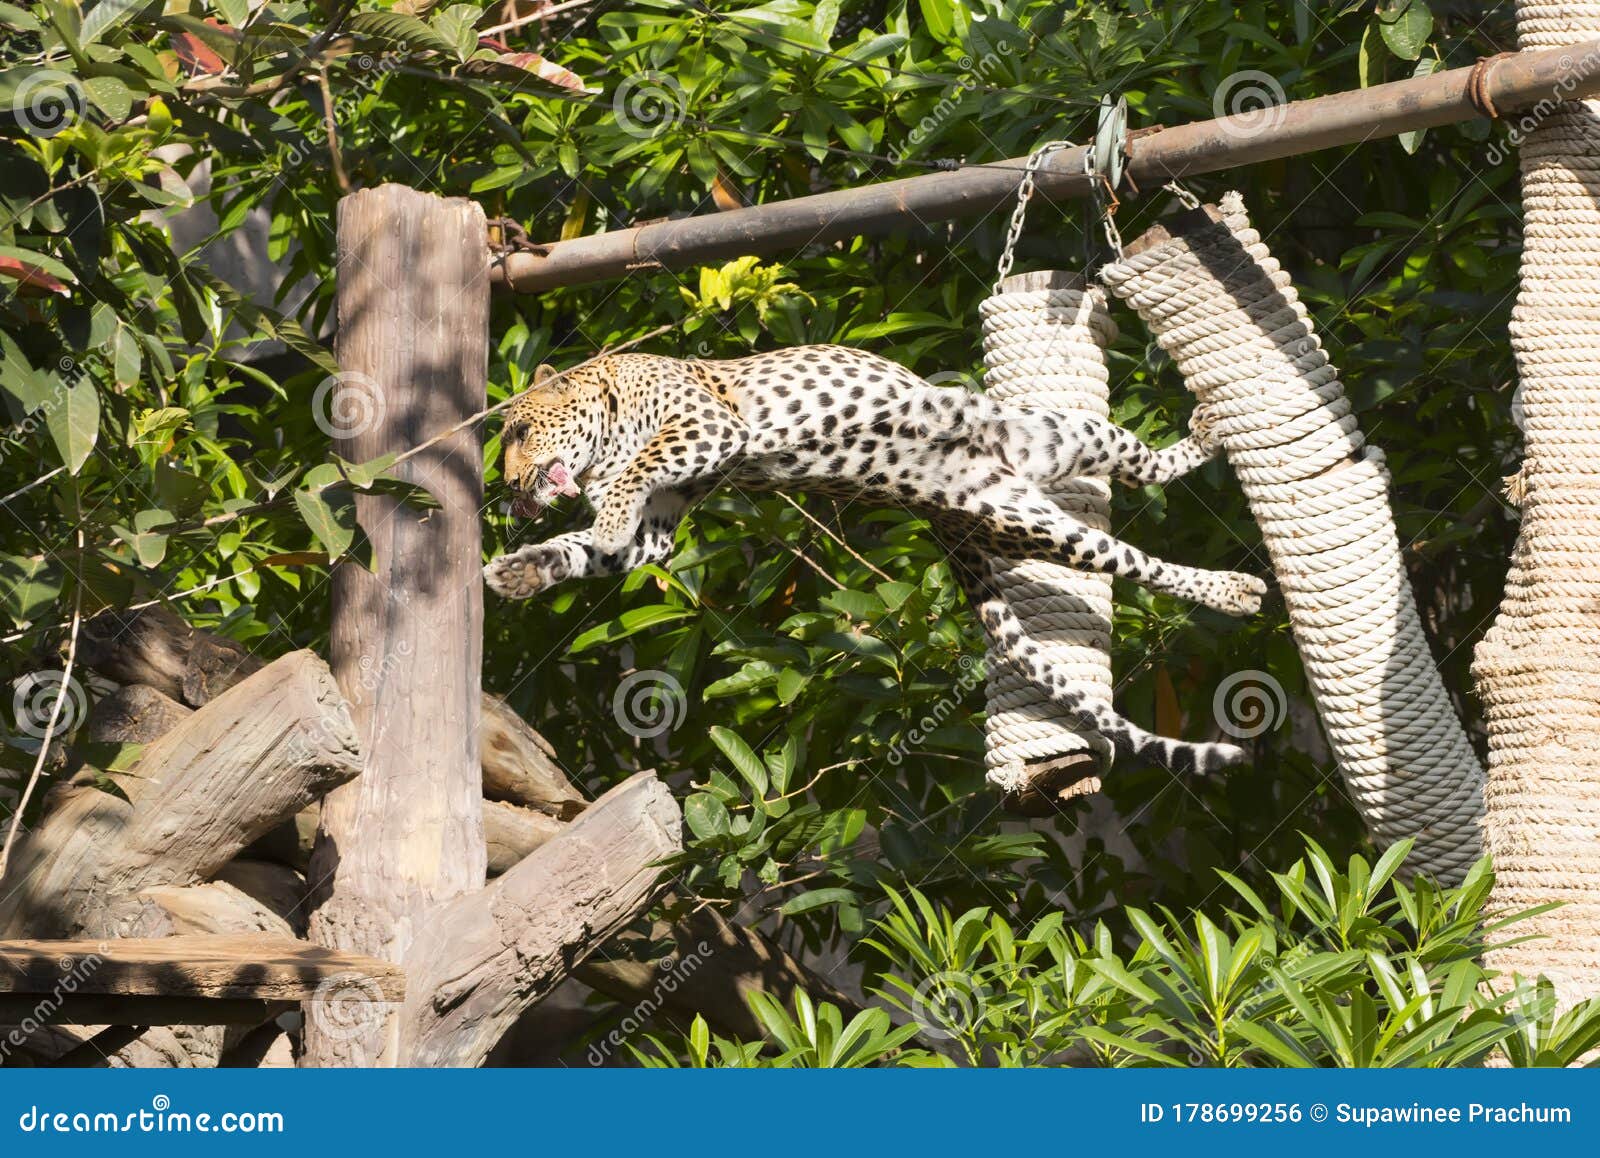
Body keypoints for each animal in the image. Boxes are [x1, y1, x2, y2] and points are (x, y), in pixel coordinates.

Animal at [484, 345, 1265, 774]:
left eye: (519, 432)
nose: (511, 490)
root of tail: (947, 511)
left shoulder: (703, 426)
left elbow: (631, 477)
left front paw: (598, 516)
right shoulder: (664, 522)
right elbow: (588, 547)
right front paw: (520, 569)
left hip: (1061, 431)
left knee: (1146, 484)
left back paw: (1218, 494)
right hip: (1023, 515)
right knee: (1121, 558)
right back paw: (1235, 589)